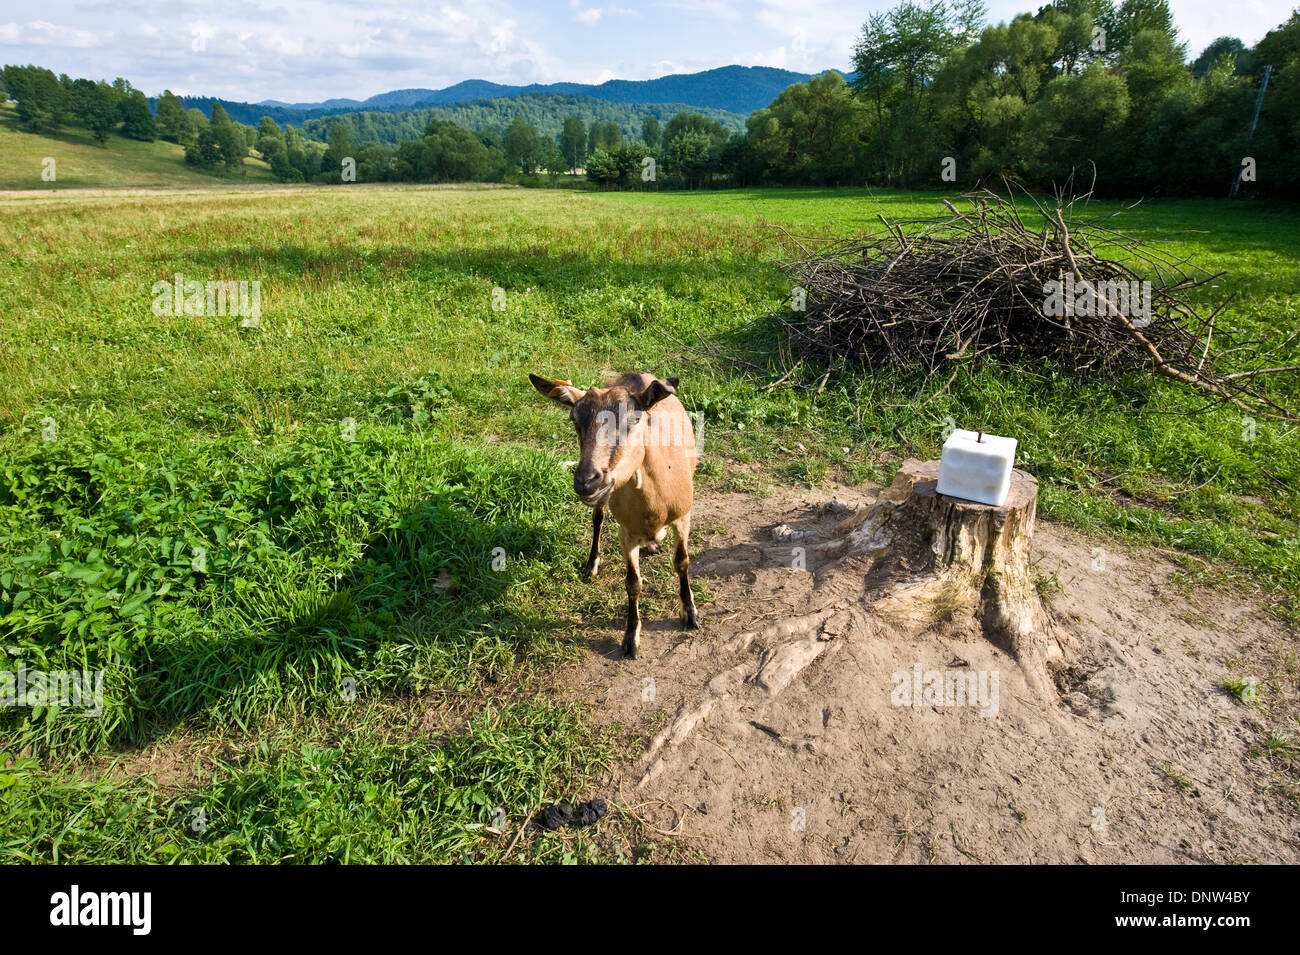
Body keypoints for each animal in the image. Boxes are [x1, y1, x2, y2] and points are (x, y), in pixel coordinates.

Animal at [529, 372, 699, 659]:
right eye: (574, 420)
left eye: (635, 418)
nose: (587, 481)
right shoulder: (625, 533)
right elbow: (633, 582)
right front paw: (631, 639)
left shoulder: (683, 516)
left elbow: (682, 562)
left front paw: (690, 614)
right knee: (597, 519)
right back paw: (592, 564)